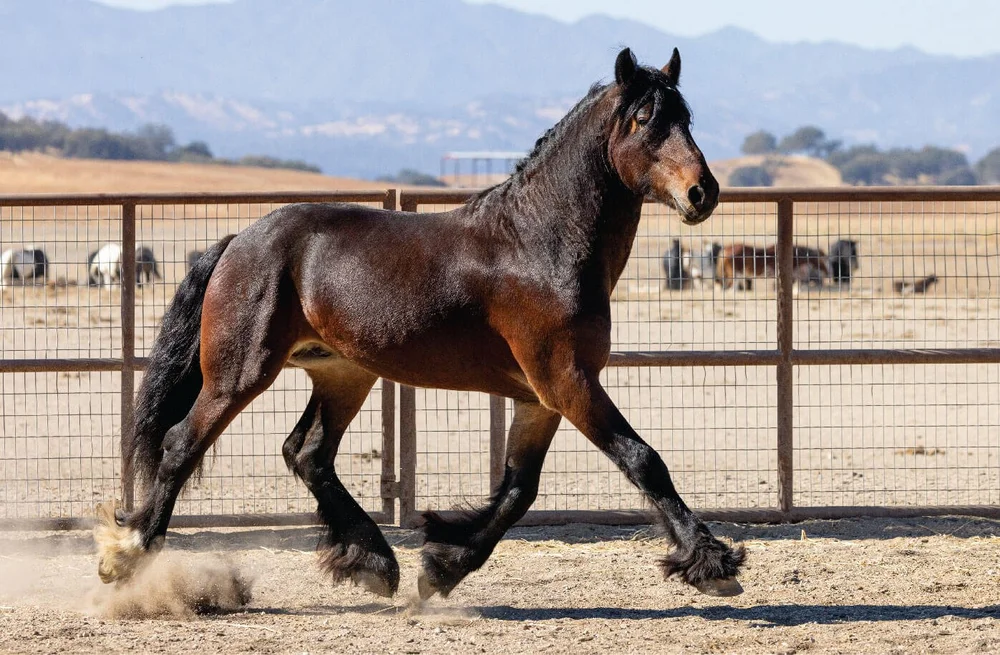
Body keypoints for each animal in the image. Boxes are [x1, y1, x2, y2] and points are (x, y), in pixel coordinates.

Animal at [95, 47, 745, 601]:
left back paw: (374, 563)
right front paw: (713, 563)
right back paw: (128, 557)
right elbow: (643, 460)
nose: (702, 192)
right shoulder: (568, 381)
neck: (540, 244)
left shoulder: (541, 396)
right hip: (239, 374)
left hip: (343, 374)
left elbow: (518, 490)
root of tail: (238, 241)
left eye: (686, 117)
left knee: (307, 453)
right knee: (182, 445)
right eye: (644, 119)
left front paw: (442, 566)